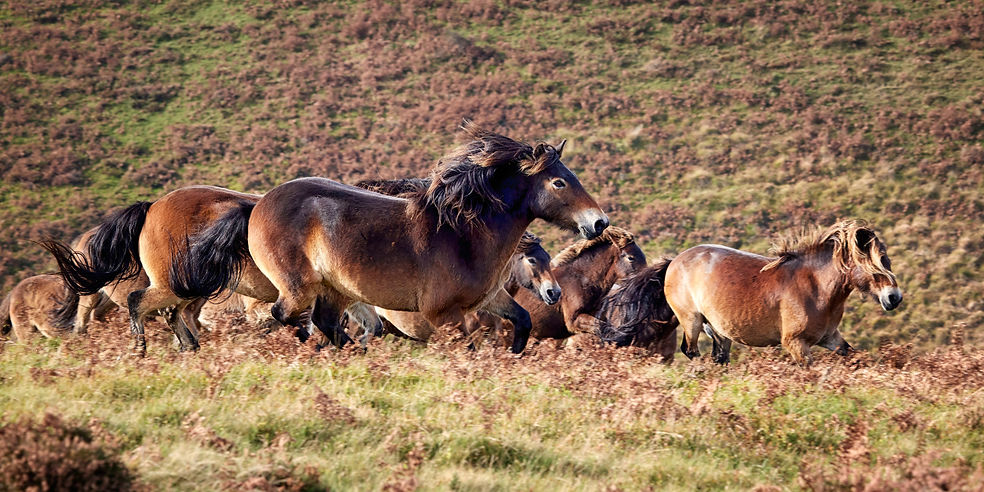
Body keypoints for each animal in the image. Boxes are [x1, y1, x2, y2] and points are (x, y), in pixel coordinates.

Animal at [600, 219, 902, 365]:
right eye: (868, 262)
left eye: (885, 259)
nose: (894, 297)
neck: (815, 287)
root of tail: (675, 262)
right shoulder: (796, 344)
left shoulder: (830, 338)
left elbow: (854, 358)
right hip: (692, 320)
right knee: (691, 351)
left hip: (718, 329)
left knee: (719, 357)